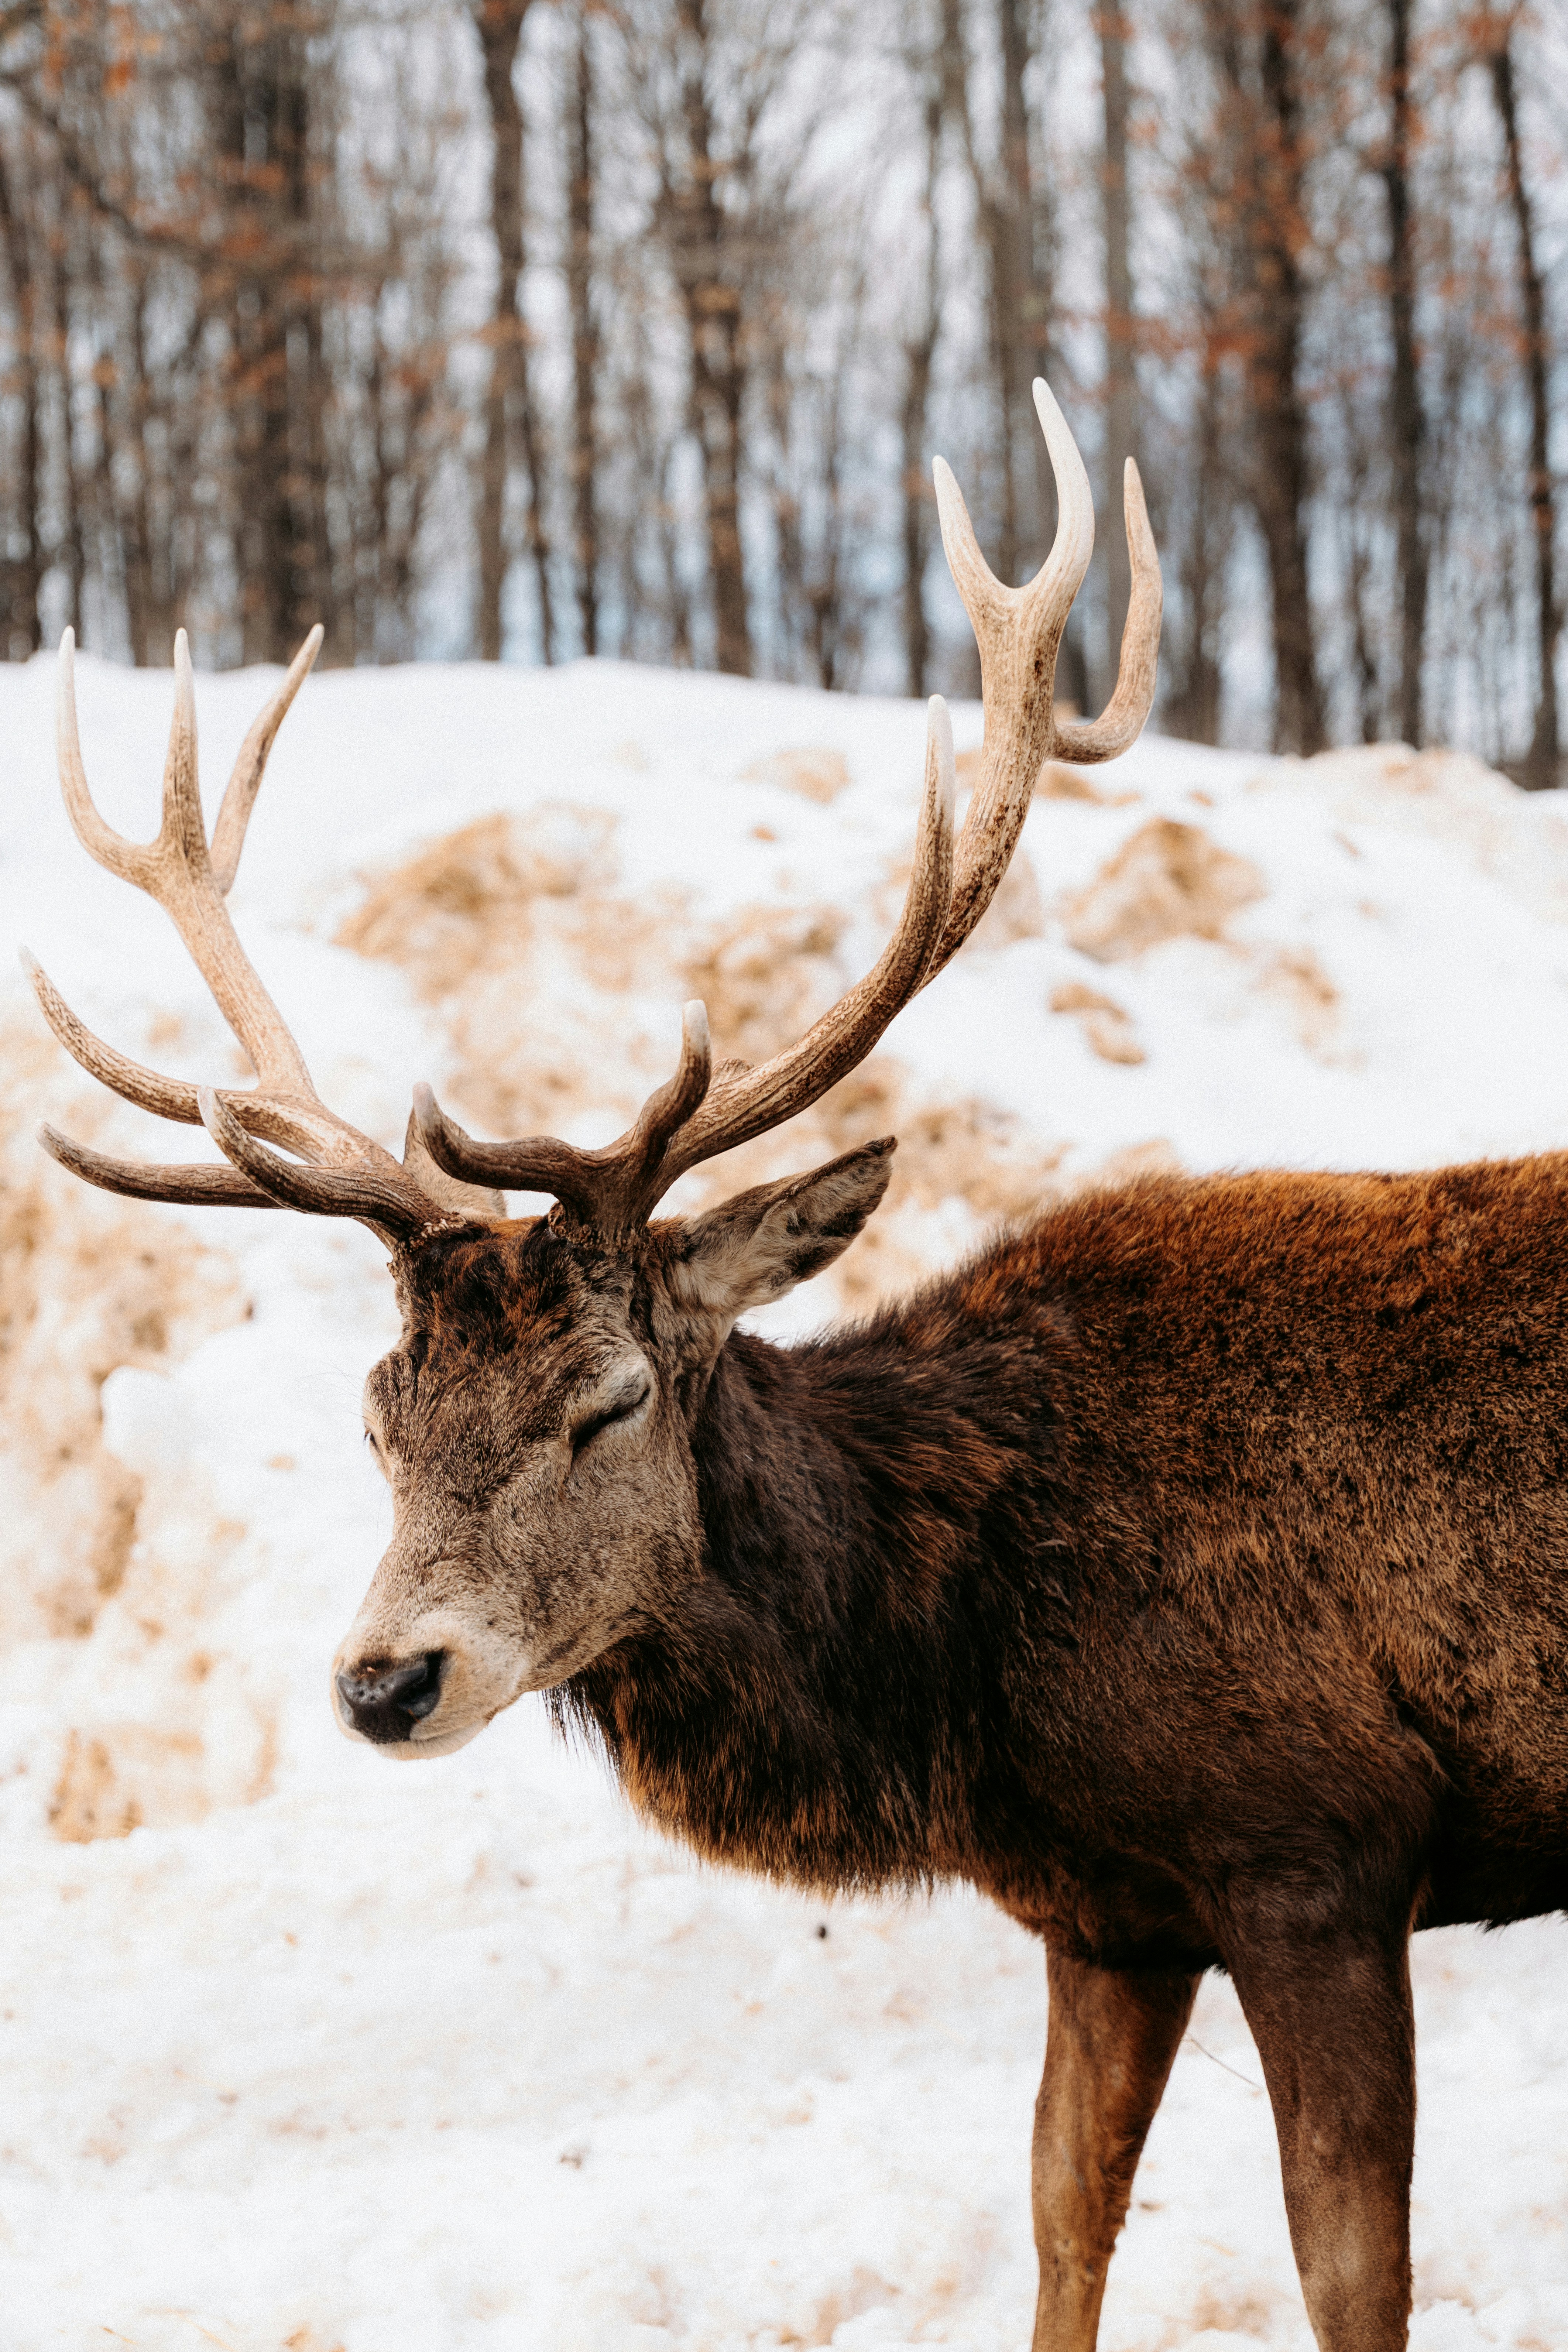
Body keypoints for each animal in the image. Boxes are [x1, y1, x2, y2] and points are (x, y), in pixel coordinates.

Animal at [25, 378, 1565, 2352]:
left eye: (607, 1396)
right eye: (377, 1412)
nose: (382, 1679)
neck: (974, 1659)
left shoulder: (1317, 1847)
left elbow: (1346, 2272)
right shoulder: (1105, 1912)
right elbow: (1061, 2221)